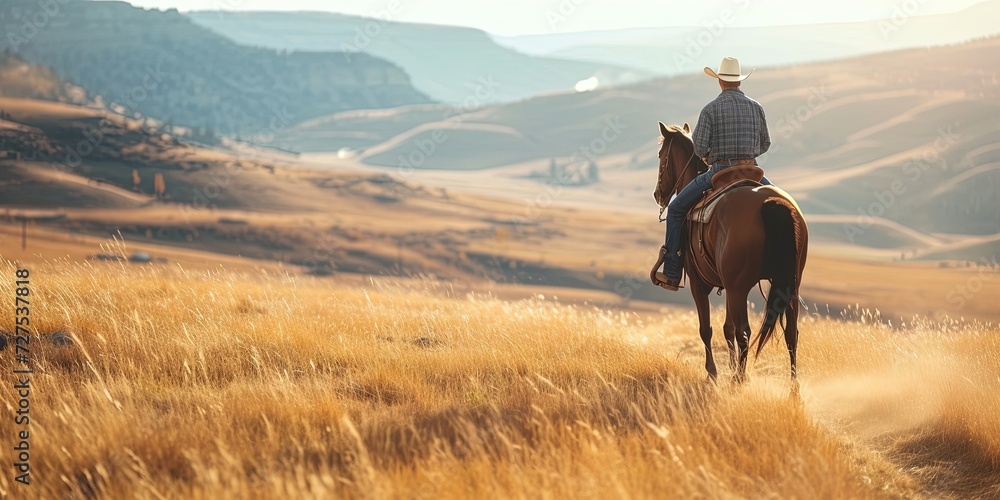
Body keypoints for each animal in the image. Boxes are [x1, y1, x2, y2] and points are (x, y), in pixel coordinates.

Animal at [649, 121, 809, 382]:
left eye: (662, 156)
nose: (657, 195)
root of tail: (770, 203)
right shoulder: (726, 284)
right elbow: (727, 328)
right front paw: (730, 366)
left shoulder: (699, 284)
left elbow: (707, 329)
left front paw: (712, 373)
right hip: (789, 285)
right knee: (791, 333)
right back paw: (793, 386)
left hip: (738, 288)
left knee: (745, 332)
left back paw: (739, 381)